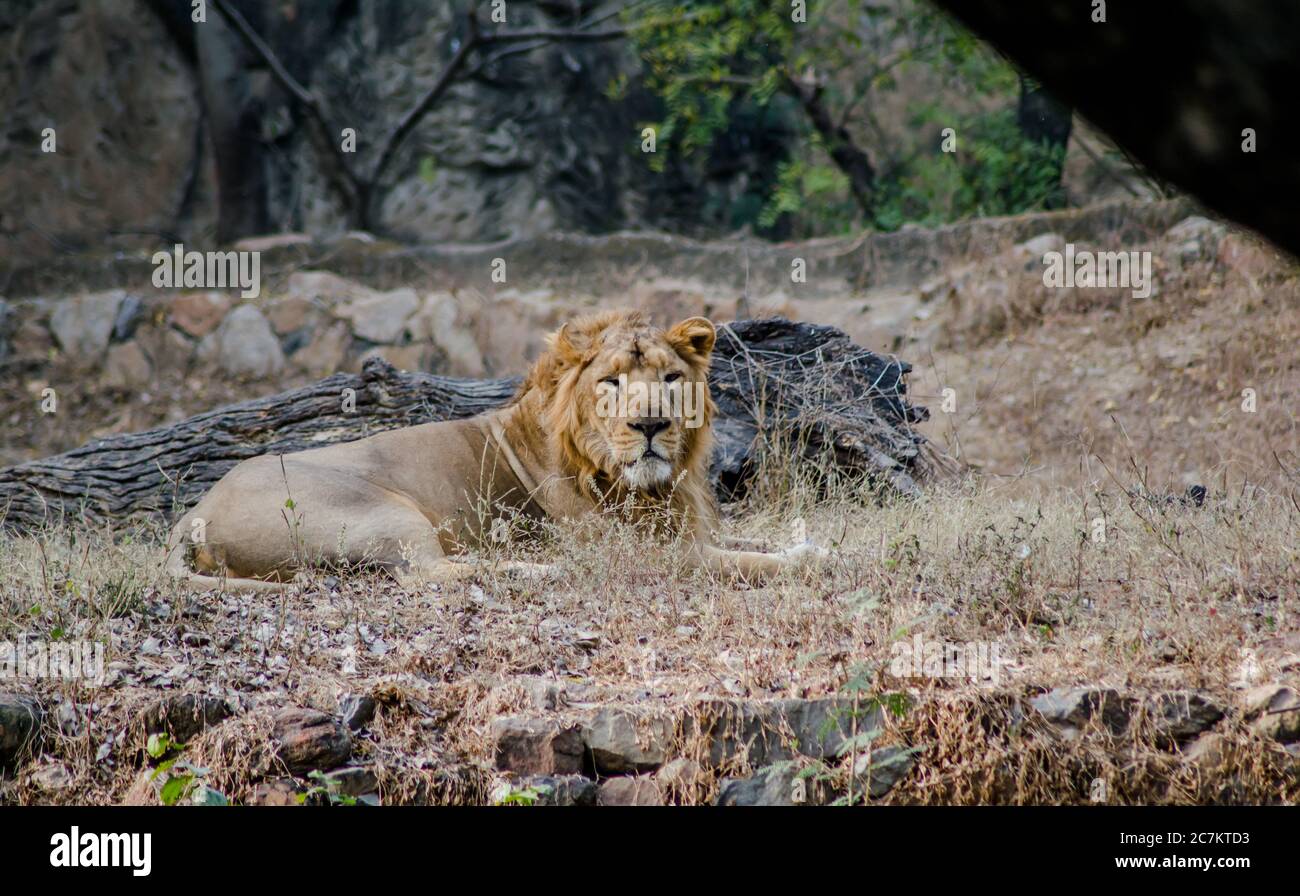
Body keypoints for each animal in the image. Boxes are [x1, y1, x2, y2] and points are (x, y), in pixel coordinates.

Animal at [165, 309, 823, 590]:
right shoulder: (651, 555)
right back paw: (549, 569)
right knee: (428, 574)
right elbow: (745, 562)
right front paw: (812, 560)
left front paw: (808, 544)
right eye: (611, 382)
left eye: (669, 378)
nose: (650, 424)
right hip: (382, 512)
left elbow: (751, 543)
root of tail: (194, 512)